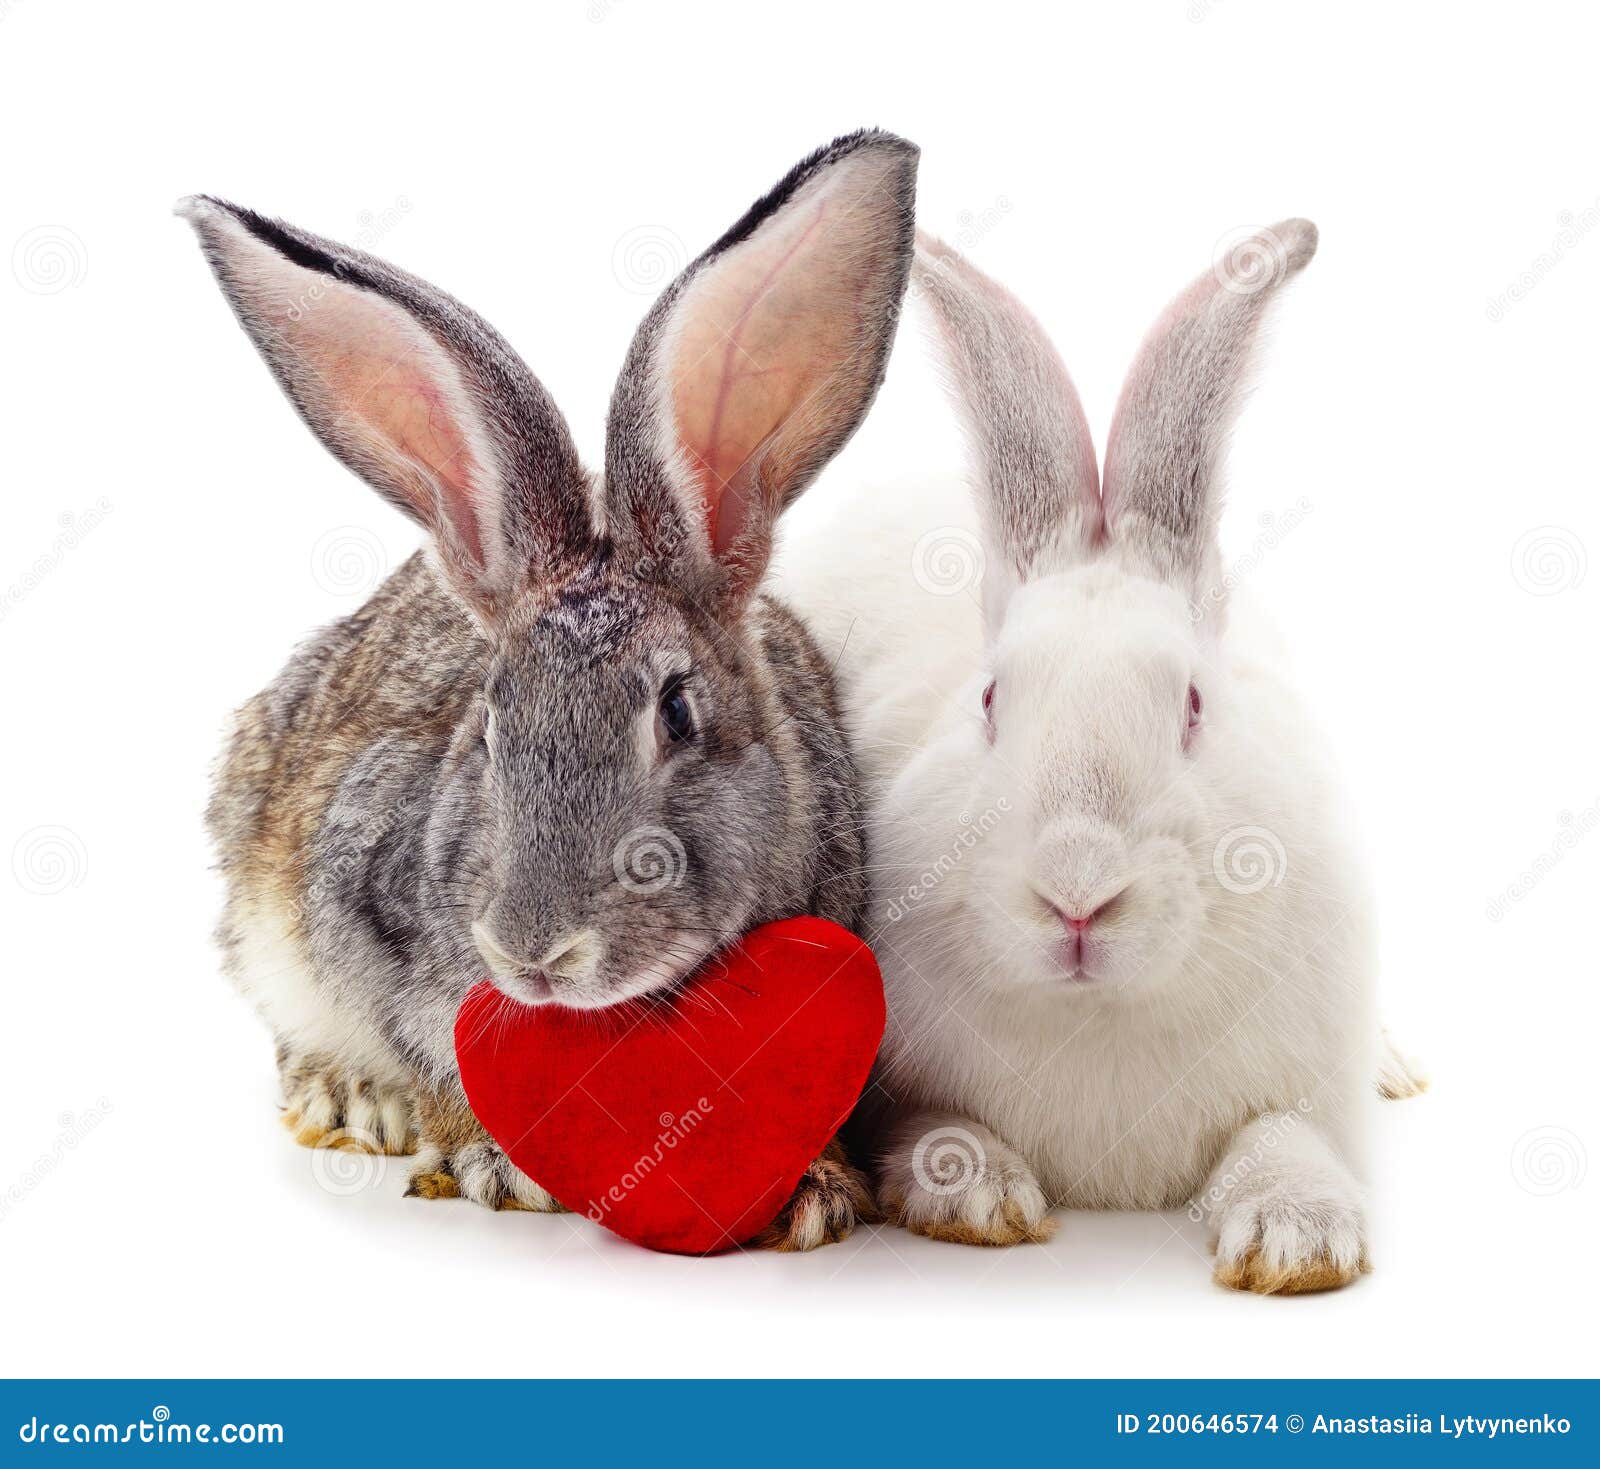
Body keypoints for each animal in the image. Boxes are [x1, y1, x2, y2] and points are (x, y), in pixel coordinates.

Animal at [181, 128, 919, 1250]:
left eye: (676, 712)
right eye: (488, 721)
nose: (531, 953)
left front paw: (816, 1190)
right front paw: (489, 1160)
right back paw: (350, 1096)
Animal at [774, 222, 1381, 1290]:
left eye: (1193, 705)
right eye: (989, 701)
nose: (1078, 895)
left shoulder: (1306, 1082)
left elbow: (1280, 1136)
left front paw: (1299, 1236)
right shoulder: (901, 1081)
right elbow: (928, 1126)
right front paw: (975, 1192)